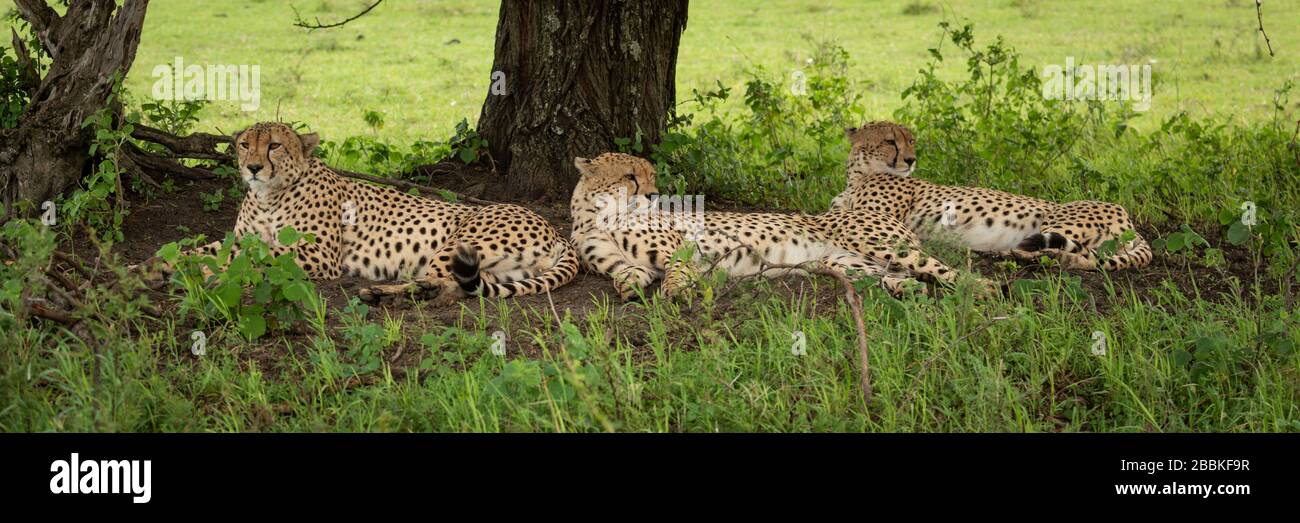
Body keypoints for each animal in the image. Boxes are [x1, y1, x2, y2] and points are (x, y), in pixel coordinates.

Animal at [142, 122, 577, 306]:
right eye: (245, 144)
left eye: (275, 146)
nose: (252, 167)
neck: (269, 195)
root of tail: (555, 230)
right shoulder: (244, 237)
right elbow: (205, 249)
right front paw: (151, 267)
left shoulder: (315, 256)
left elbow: (251, 258)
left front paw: (199, 276)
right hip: (501, 269)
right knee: (461, 286)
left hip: (459, 243)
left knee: (449, 283)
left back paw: (384, 293)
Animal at [568, 152, 980, 301]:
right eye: (629, 176)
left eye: (651, 176)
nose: (654, 196)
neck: (598, 216)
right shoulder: (627, 264)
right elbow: (628, 276)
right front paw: (629, 291)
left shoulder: (681, 247)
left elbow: (677, 270)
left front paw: (675, 291)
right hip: (844, 263)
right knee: (889, 276)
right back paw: (907, 289)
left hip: (882, 245)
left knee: (953, 273)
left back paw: (982, 293)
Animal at [829, 121, 1152, 271]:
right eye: (889, 142)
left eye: (910, 141)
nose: (911, 160)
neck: (857, 176)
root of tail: (1129, 219)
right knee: (1092, 259)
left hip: (1058, 220)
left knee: (1073, 252)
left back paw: (1017, 253)